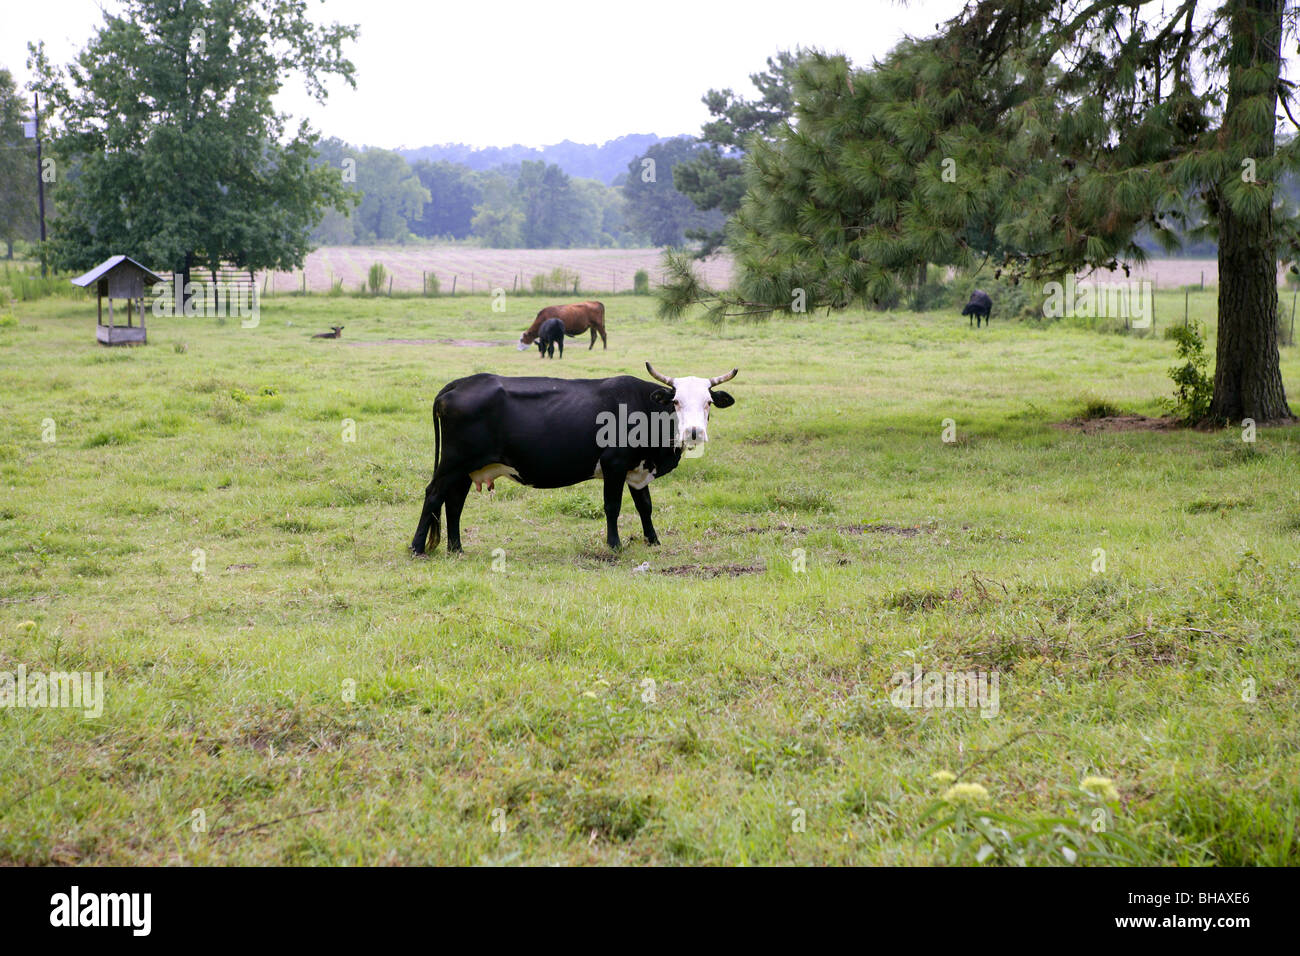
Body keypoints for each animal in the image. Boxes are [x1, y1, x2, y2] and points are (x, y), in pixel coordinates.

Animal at [410, 363, 738, 555]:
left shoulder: (637, 470)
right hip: (453, 463)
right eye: (676, 402)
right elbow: (612, 507)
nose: (694, 432)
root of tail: (460, 383)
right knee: (434, 495)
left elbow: (645, 507)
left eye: (708, 402)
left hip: (467, 469)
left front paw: (653, 541)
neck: (642, 407)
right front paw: (614, 545)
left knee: (453, 503)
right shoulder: (614, 465)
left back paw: (456, 548)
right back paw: (417, 548)